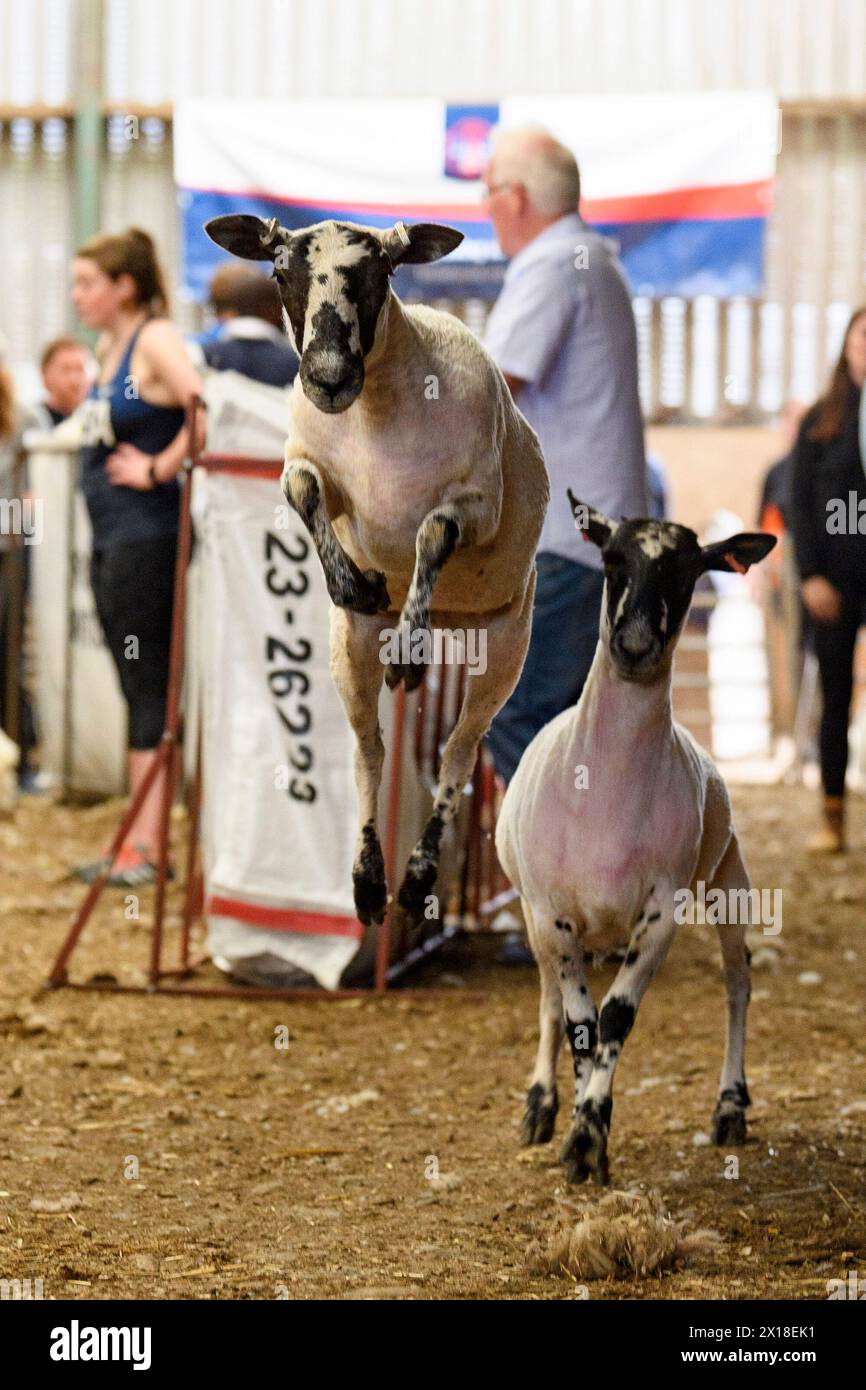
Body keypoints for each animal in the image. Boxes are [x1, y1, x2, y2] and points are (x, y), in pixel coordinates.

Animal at [204, 214, 548, 928]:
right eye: (279, 271)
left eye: (382, 272)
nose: (328, 376)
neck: (378, 417)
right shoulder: (307, 460)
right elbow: (301, 490)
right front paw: (350, 582)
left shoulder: (479, 504)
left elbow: (431, 533)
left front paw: (410, 650)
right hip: (348, 647)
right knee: (369, 750)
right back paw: (367, 882)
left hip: (505, 643)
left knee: (457, 753)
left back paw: (416, 882)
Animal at [495, 493, 776, 1185]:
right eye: (611, 559)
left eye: (689, 570)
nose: (635, 646)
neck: (608, 789)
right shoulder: (551, 913)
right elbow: (579, 1023)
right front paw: (572, 1126)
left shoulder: (660, 915)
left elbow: (616, 1016)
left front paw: (589, 1137)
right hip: (539, 919)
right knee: (547, 997)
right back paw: (540, 1105)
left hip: (730, 882)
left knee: (737, 986)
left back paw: (730, 1107)